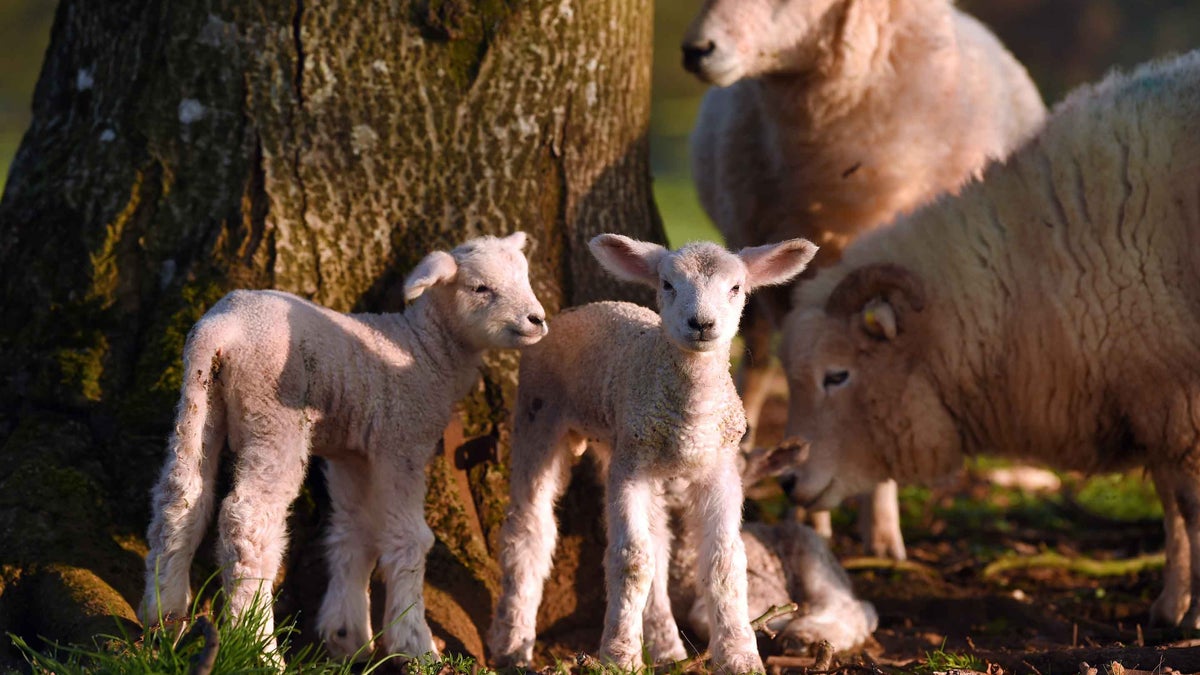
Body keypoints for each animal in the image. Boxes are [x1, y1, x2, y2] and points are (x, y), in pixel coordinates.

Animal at [139, 232, 547, 659]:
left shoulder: (353, 455)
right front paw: (413, 643)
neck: (424, 350)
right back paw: (258, 645)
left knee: (181, 496)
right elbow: (409, 537)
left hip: (200, 399)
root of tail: (222, 330)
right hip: (272, 416)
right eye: (480, 288)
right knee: (248, 519)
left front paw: (347, 636)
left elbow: (354, 531)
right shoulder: (402, 442)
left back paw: (164, 616)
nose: (537, 320)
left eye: (525, 279)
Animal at [487, 234, 817, 672]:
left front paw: (739, 655)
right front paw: (620, 656)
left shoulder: (720, 470)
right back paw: (513, 644)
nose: (701, 324)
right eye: (667, 284)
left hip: (619, 442)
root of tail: (581, 309)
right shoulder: (631, 471)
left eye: (736, 288)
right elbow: (631, 561)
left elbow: (724, 561)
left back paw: (666, 648)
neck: (690, 425)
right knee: (529, 527)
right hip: (539, 413)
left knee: (658, 542)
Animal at [777, 50, 1200, 628]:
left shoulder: (1178, 391)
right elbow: (1172, 507)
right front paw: (1171, 607)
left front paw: (1191, 614)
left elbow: (1189, 509)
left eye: (837, 375)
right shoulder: (1155, 395)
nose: (786, 481)